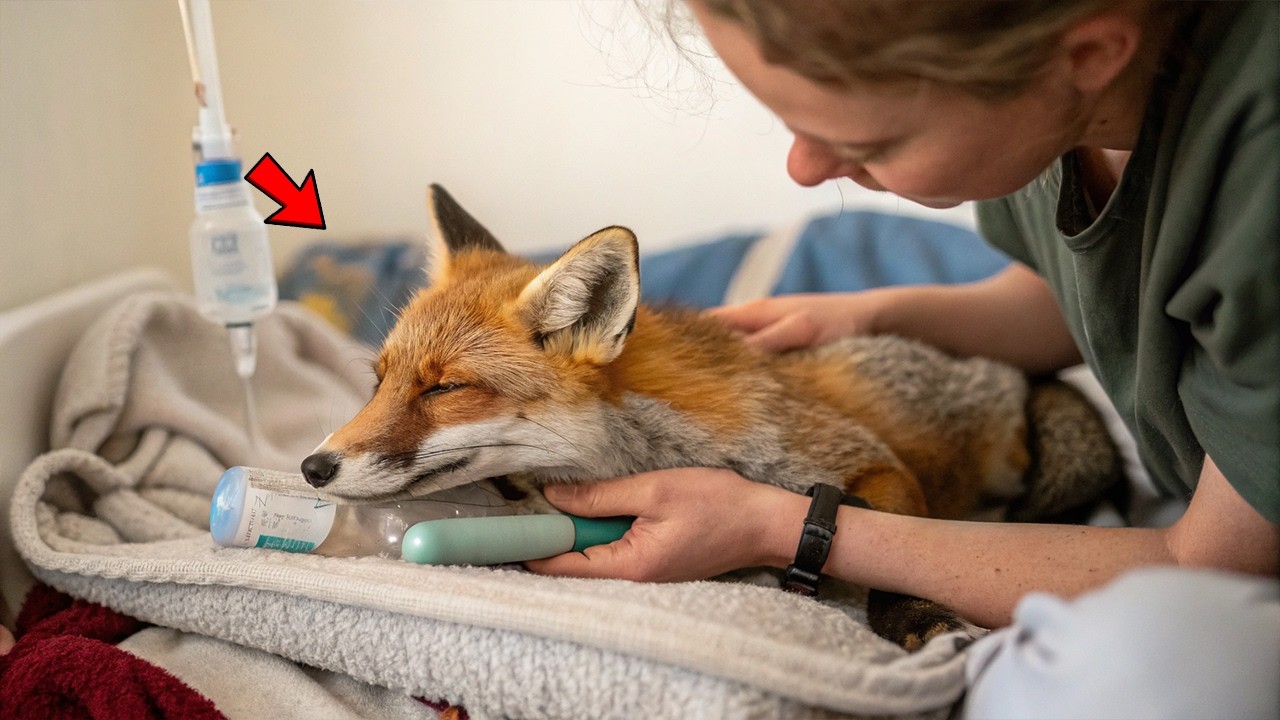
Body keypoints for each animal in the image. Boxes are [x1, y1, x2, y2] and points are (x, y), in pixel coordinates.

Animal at [301, 184, 1121, 650]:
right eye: (378, 382)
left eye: (444, 389)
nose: (313, 466)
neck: (654, 445)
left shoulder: (870, 463)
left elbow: (893, 555)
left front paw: (916, 618)